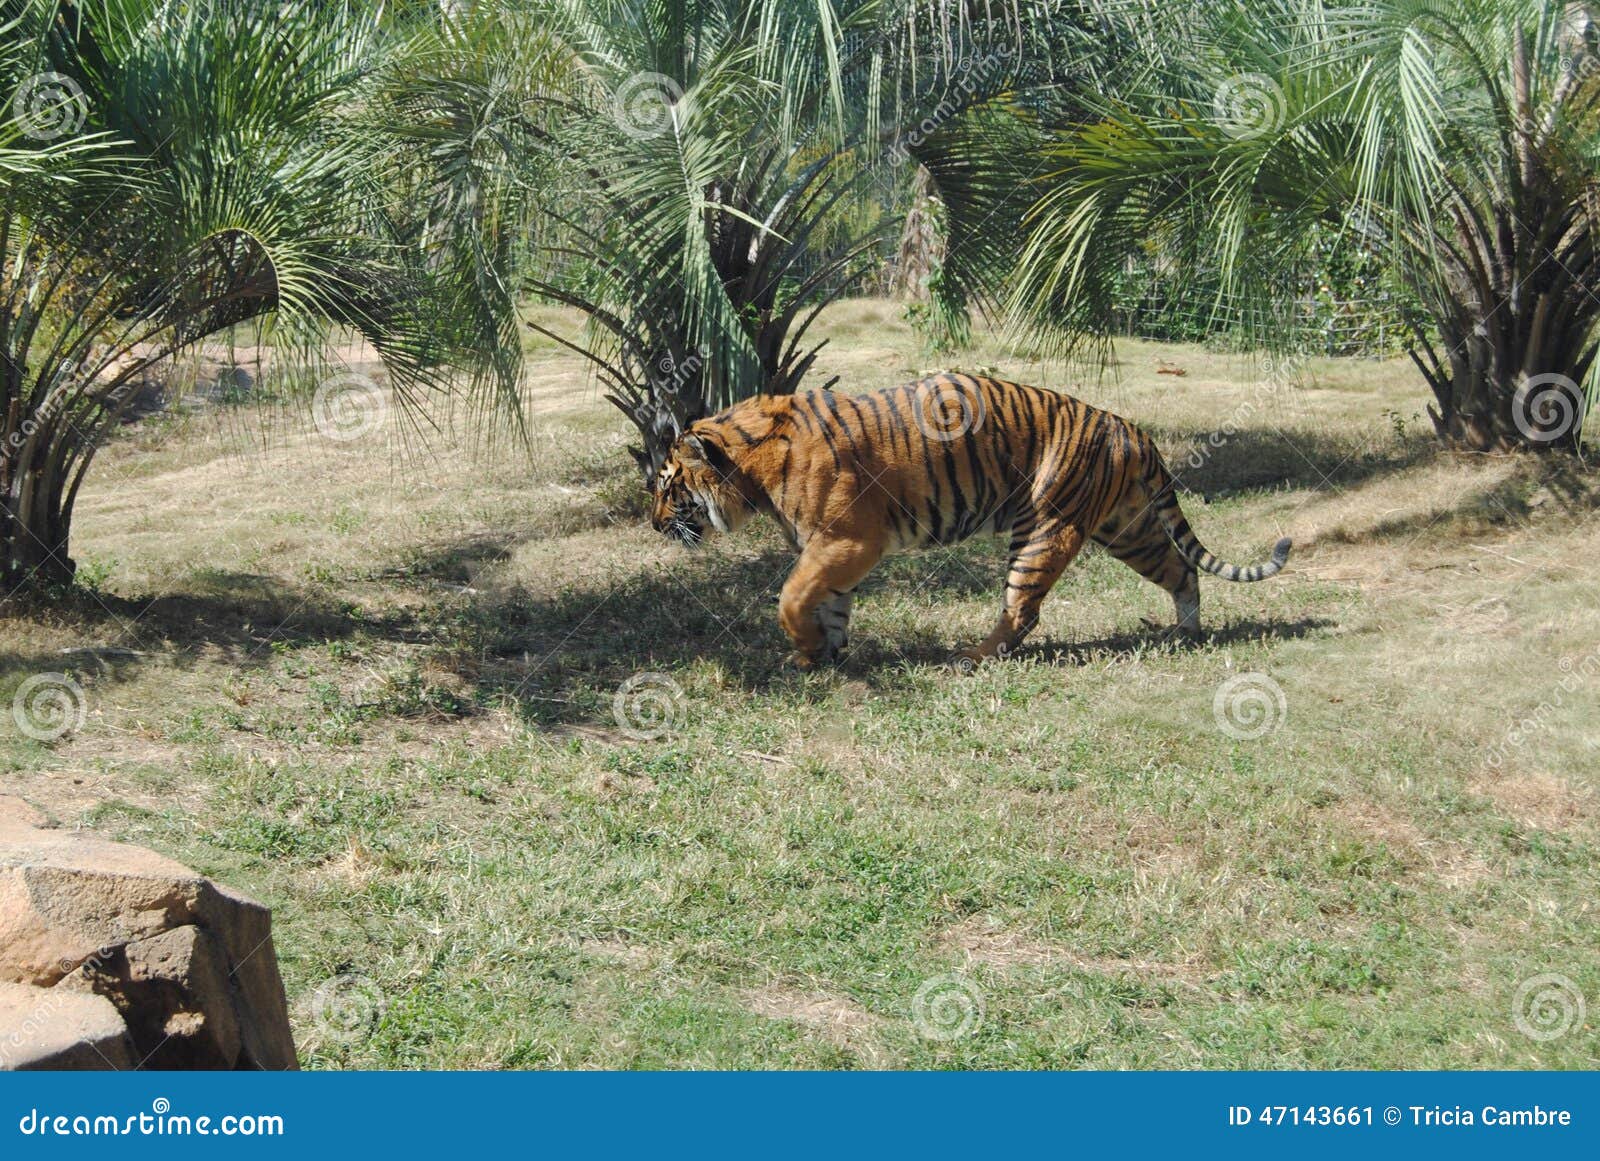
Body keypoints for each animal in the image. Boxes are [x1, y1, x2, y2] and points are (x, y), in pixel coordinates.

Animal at [650, 374, 1291, 669]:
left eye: (666, 485)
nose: (654, 524)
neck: (754, 466)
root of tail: (1130, 428)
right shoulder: (836, 551)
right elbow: (830, 605)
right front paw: (821, 657)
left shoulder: (849, 540)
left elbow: (791, 595)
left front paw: (805, 647)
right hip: (1127, 529)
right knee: (1183, 573)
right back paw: (1186, 634)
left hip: (1044, 528)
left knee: (1023, 609)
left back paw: (972, 658)